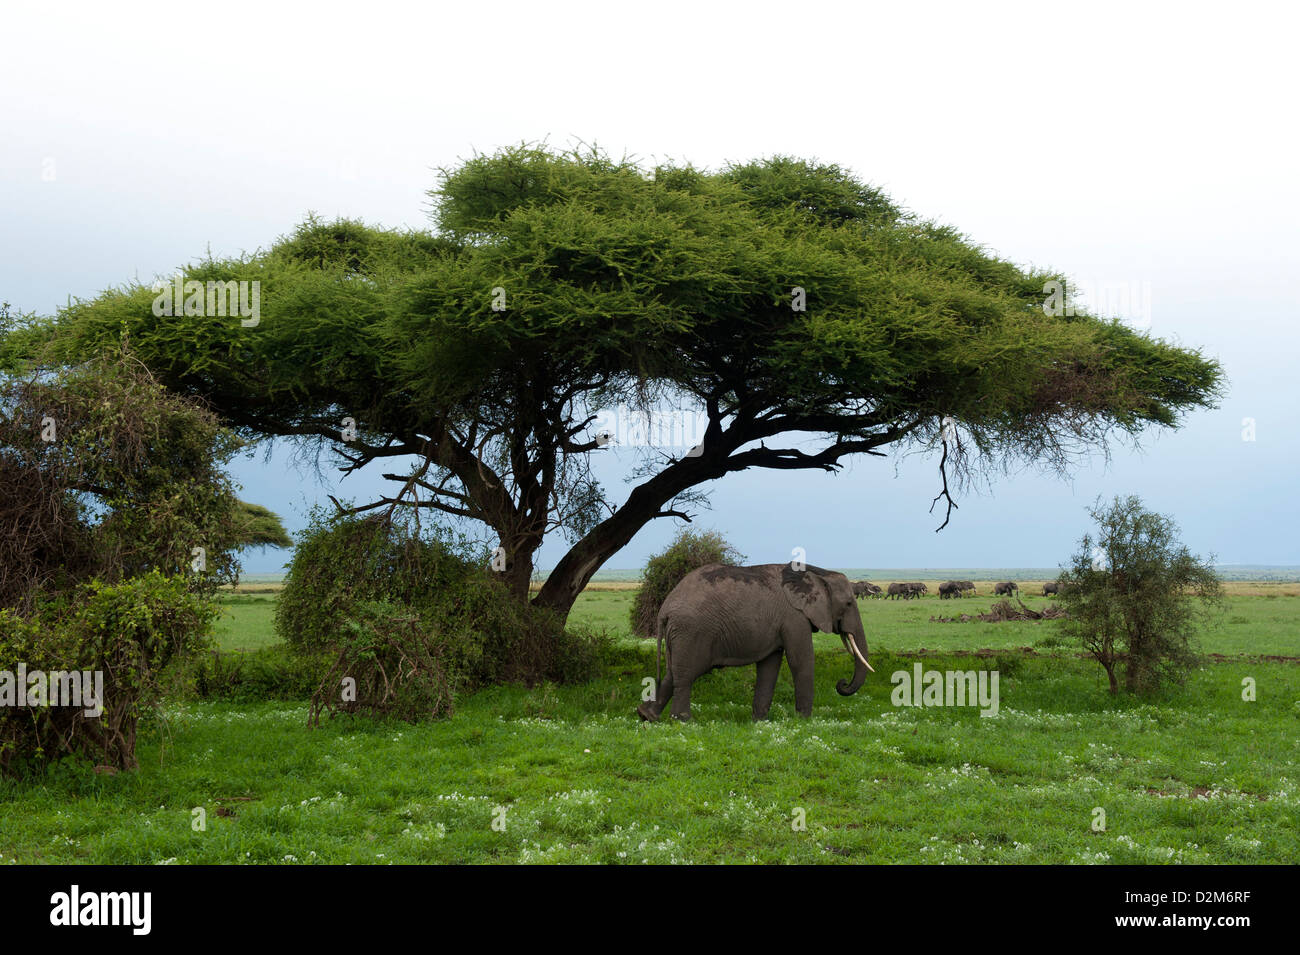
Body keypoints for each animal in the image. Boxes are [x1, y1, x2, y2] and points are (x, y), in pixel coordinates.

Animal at [636, 563, 873, 722]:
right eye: (849, 603)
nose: (842, 683)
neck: (817, 572)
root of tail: (665, 609)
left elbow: (770, 665)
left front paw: (760, 722)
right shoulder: (794, 616)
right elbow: (800, 660)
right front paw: (804, 721)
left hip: (680, 634)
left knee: (674, 672)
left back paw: (647, 716)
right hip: (691, 631)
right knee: (686, 674)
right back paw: (683, 721)